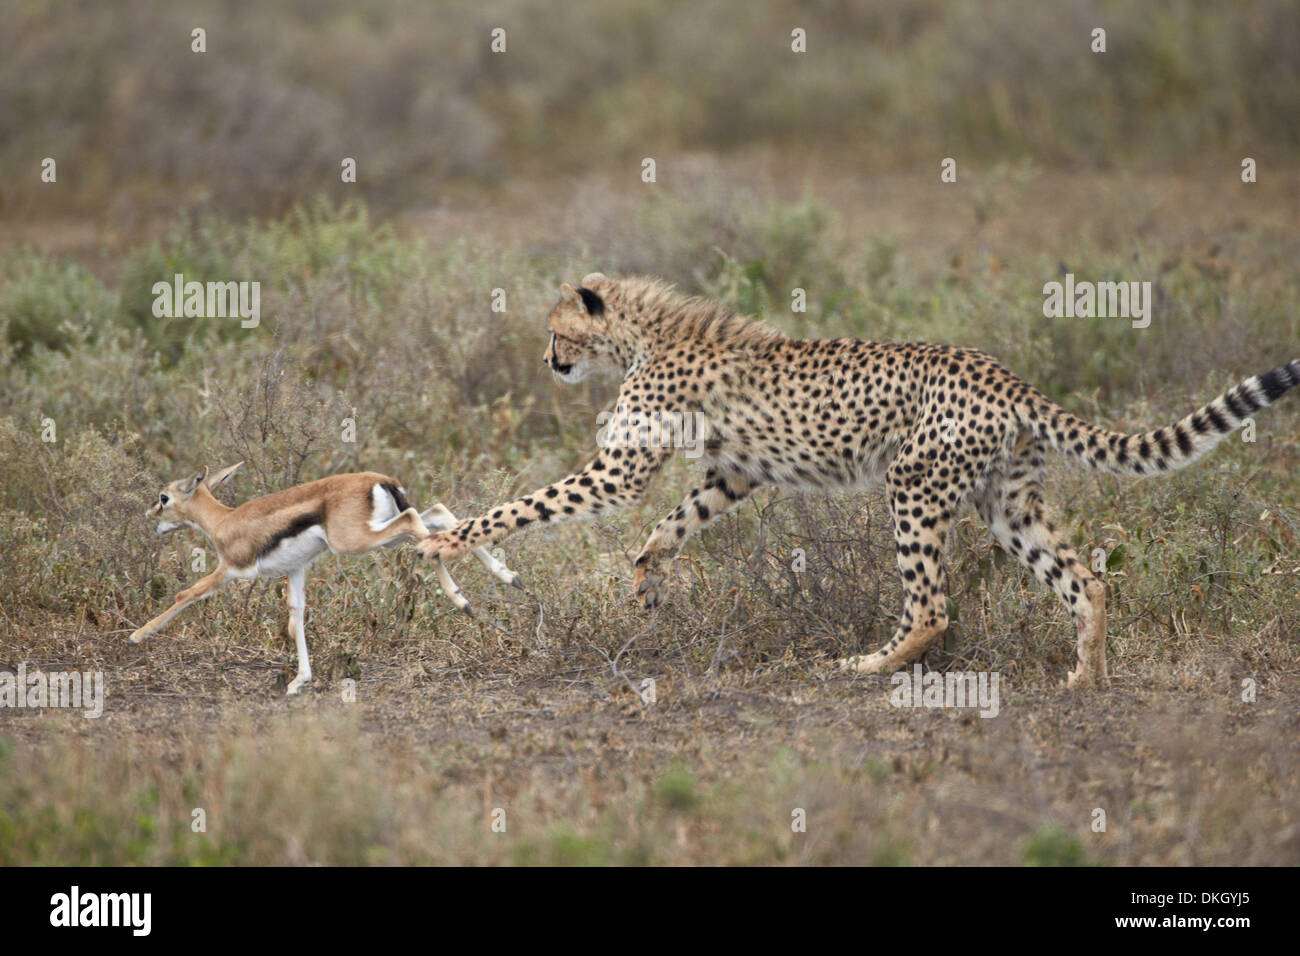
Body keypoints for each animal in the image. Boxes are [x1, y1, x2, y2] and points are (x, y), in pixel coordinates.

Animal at [128, 463, 519, 694]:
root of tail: (382, 481)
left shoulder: (227, 569)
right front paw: (299, 681)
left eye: (164, 496)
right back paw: (508, 576)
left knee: (419, 527)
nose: (150, 515)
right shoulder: (295, 569)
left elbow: (187, 593)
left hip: (358, 540)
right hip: (381, 533)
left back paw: (462, 599)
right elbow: (296, 618)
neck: (224, 521)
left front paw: (135, 637)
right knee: (439, 515)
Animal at [419, 273, 1299, 687]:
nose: (549, 362)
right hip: (1008, 505)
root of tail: (1002, 371)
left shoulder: (618, 470)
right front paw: (647, 582)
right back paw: (1087, 674)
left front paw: (450, 542)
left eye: (556, 331)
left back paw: (870, 666)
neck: (645, 336)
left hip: (912, 486)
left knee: (934, 605)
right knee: (1087, 579)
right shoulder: (732, 472)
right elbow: (668, 528)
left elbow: (529, 504)